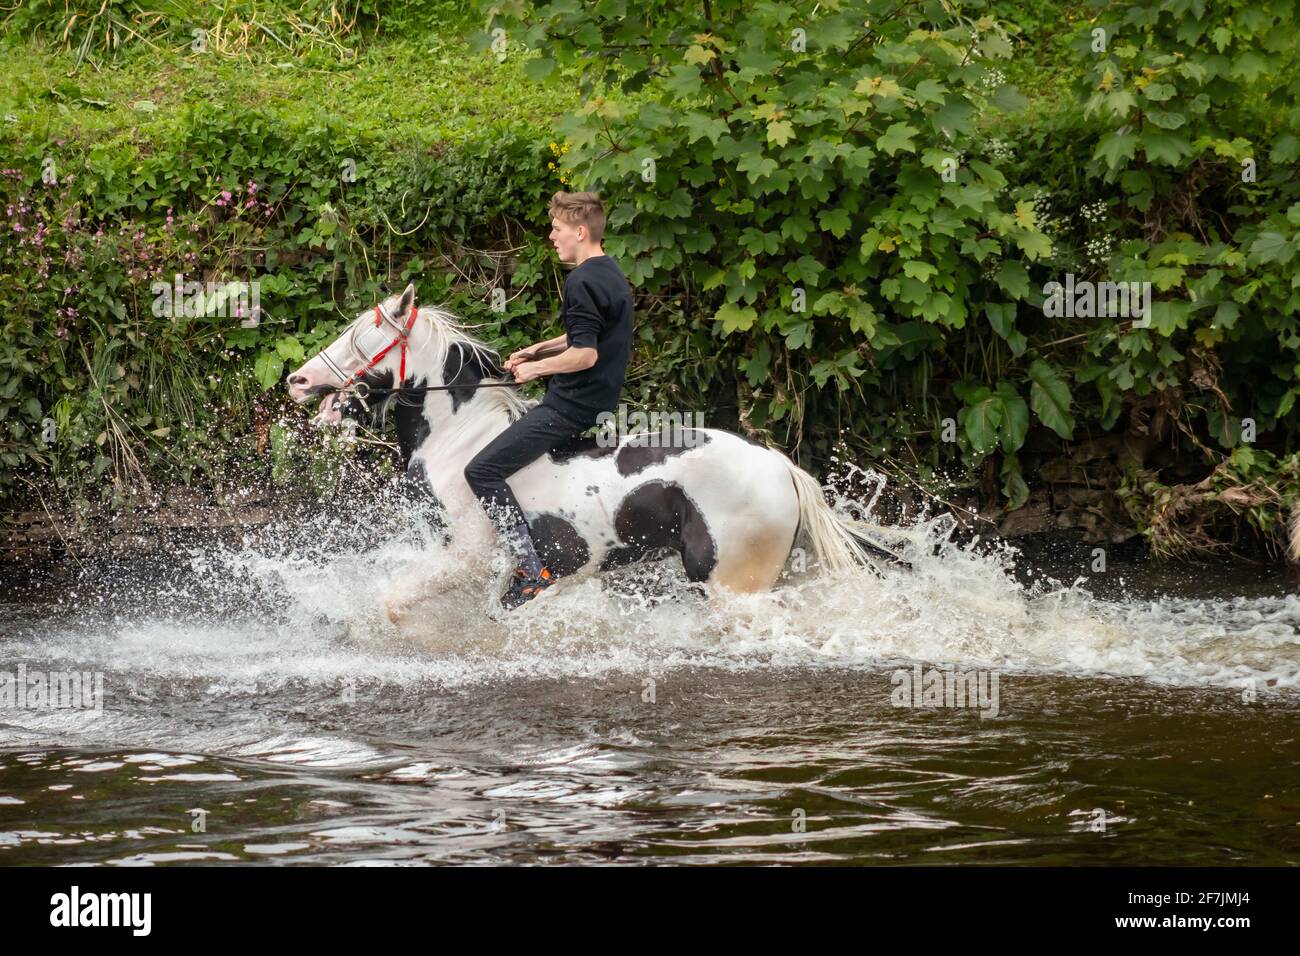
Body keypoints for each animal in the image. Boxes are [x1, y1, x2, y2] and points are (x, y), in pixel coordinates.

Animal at [285, 283, 903, 628]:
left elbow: (393, 603)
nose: (297, 381)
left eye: (362, 341)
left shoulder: (468, 555)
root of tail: (781, 466)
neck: (457, 438)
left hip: (732, 583)